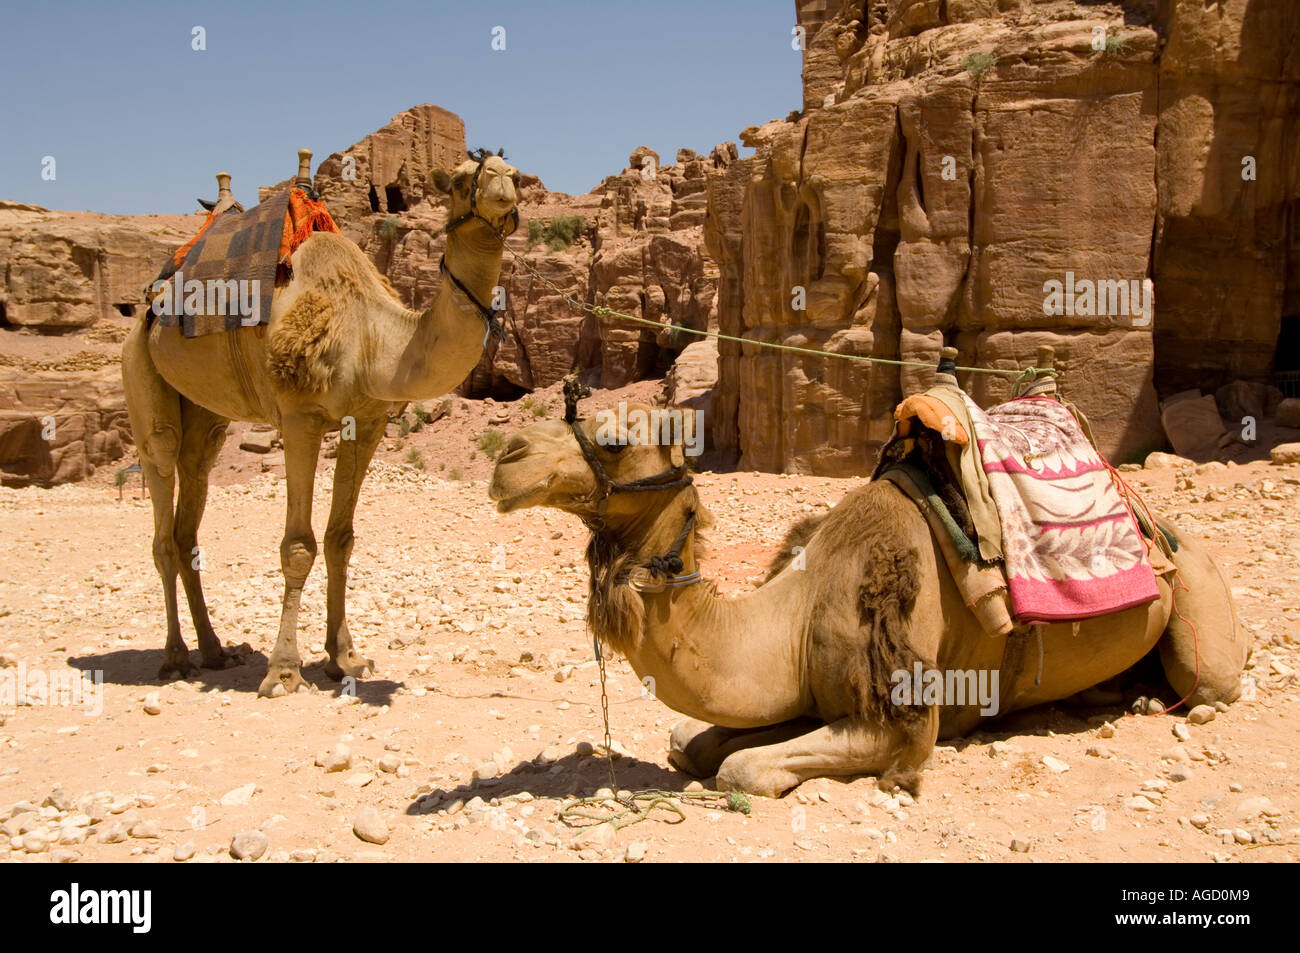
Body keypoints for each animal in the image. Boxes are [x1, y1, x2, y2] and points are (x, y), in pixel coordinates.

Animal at [122, 153, 520, 696]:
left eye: (515, 173)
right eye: (460, 180)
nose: (503, 182)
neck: (373, 338)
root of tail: (151, 303)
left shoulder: (367, 422)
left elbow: (340, 540)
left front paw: (344, 658)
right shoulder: (299, 417)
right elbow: (298, 546)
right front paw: (284, 670)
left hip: (205, 415)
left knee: (192, 500)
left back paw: (214, 650)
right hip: (140, 370)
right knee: (162, 497)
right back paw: (176, 658)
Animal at [488, 401, 1249, 797]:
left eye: (616, 440)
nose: (506, 458)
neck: (793, 614)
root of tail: (1161, 527)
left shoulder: (904, 715)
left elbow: (739, 767)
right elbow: (695, 743)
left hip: (1201, 604)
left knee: (1210, 682)